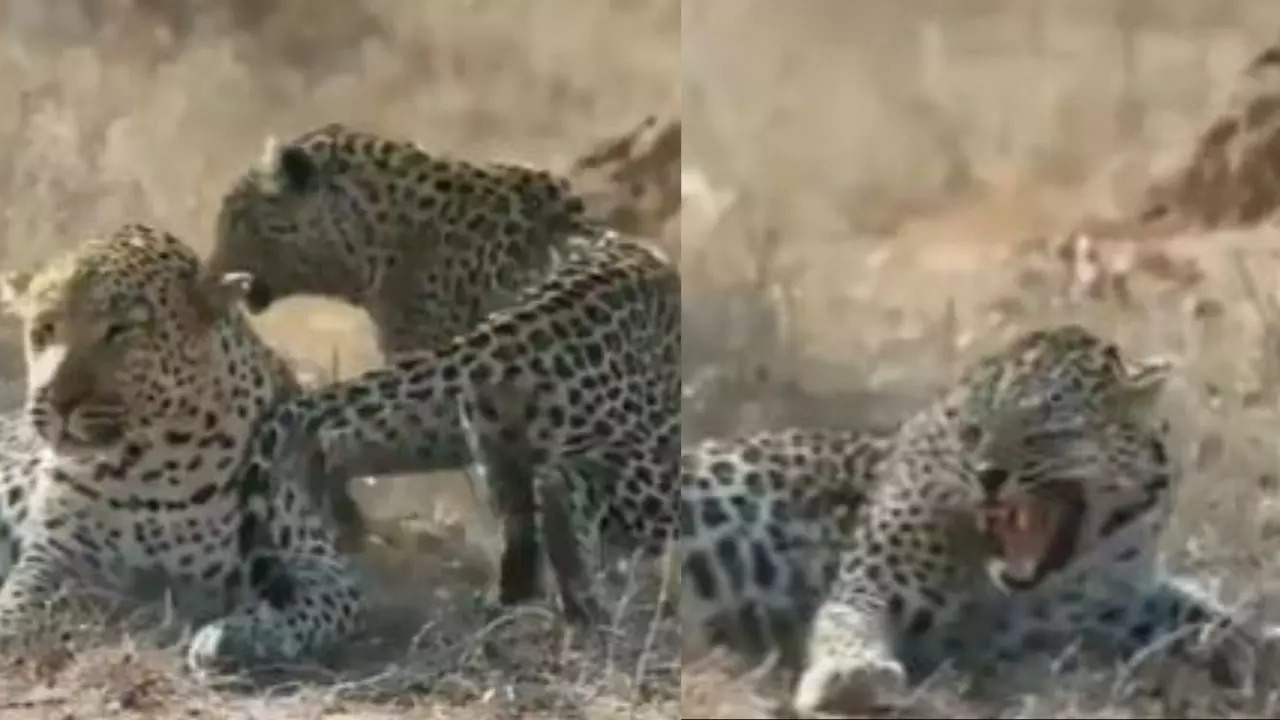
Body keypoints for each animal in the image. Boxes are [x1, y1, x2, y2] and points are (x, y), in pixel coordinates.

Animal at [0, 223, 363, 674]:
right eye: (44, 330)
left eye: (120, 331)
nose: (56, 400)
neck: (146, 462)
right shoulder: (60, 551)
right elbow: (22, 594)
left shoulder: (321, 565)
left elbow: (302, 608)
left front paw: (236, 636)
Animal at [681, 324, 1280, 714]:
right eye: (970, 429)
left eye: (1045, 432)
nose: (986, 474)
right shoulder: (872, 583)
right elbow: (847, 624)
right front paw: (853, 677)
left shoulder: (1123, 598)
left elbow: (1218, 620)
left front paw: (1255, 651)